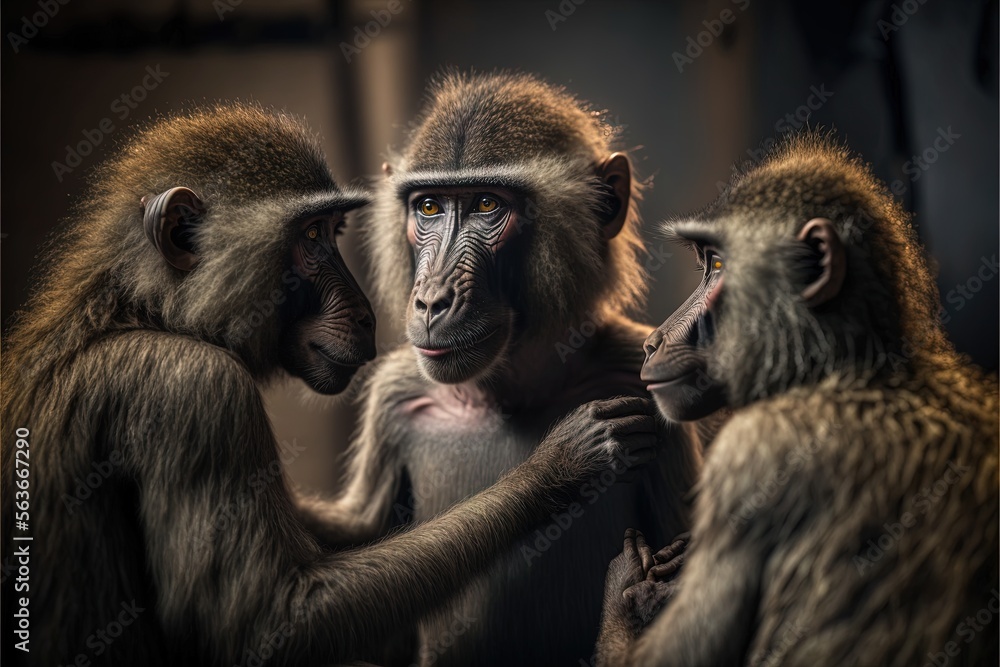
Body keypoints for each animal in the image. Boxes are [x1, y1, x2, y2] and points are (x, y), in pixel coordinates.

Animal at [0, 103, 660, 666]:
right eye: (313, 237)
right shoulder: (194, 387)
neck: (143, 311)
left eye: (485, 206)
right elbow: (267, 624)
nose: (379, 313)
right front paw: (558, 468)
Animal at [304, 71, 704, 666]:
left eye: (488, 204)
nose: (432, 300)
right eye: (429, 208)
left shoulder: (648, 369)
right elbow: (356, 537)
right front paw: (559, 466)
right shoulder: (395, 396)